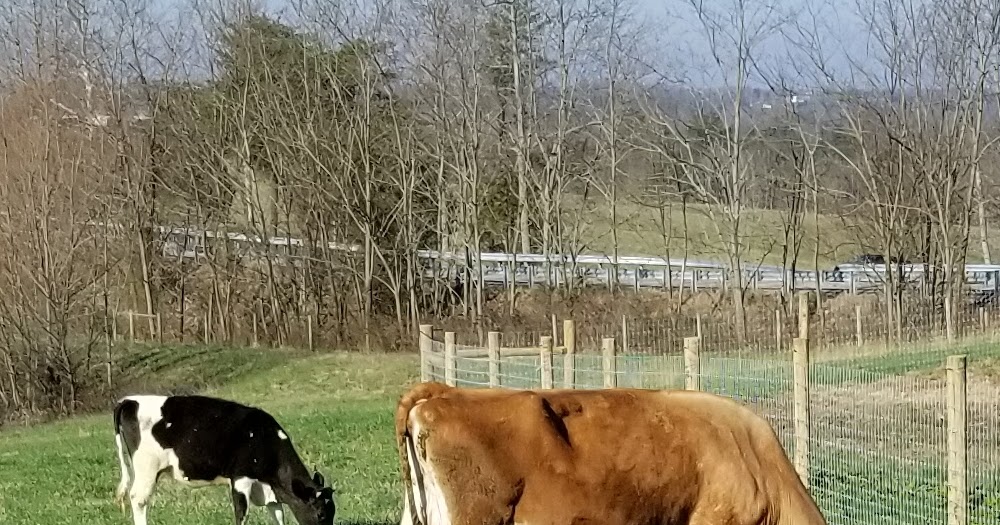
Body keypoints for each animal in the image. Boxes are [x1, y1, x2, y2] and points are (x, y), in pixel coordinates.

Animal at [113, 394, 336, 525]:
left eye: (333, 511)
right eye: (321, 514)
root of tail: (129, 400)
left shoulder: (267, 489)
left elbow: (277, 515)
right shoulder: (241, 478)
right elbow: (242, 514)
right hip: (147, 467)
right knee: (139, 499)